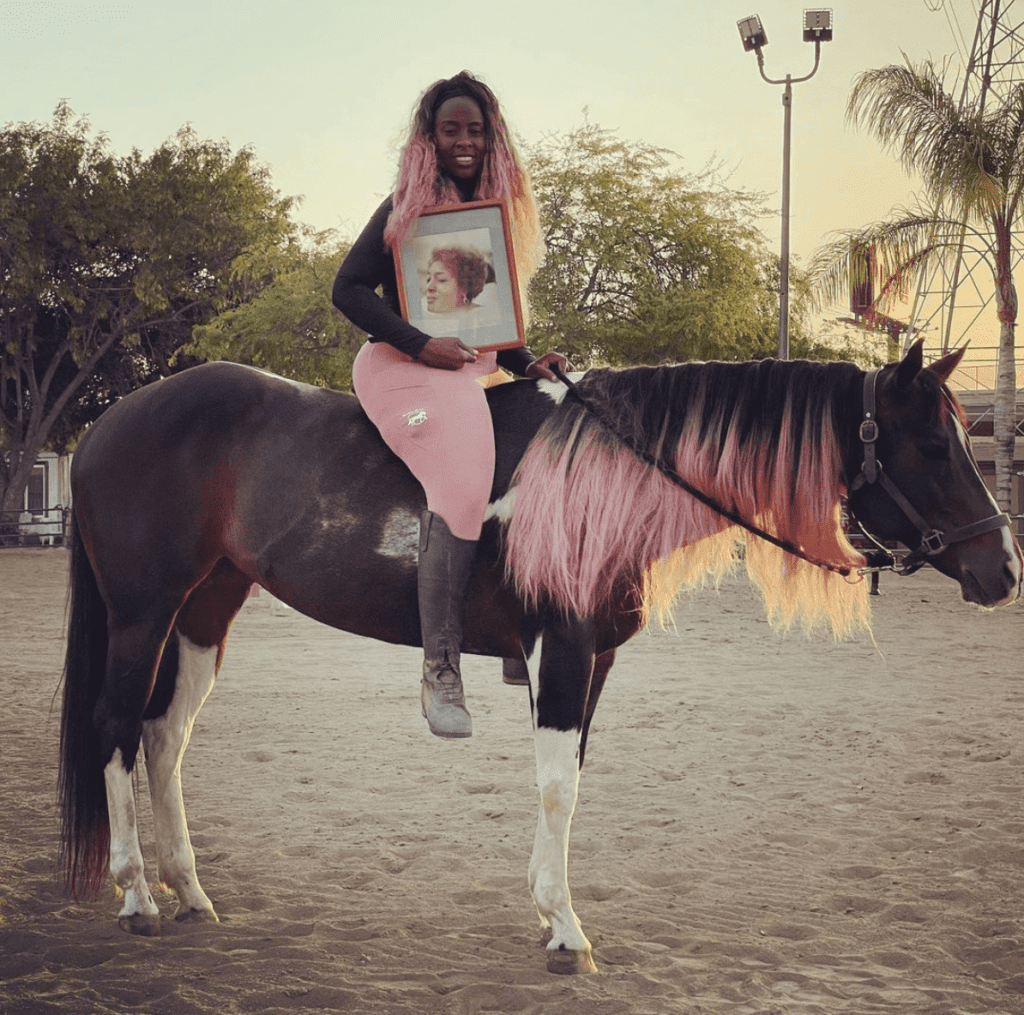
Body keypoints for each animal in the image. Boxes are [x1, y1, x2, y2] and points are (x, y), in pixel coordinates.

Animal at [58, 339, 1020, 974]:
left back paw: (190, 891)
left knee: (163, 738)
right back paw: (137, 895)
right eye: (934, 445)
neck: (602, 474)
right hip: (143, 614)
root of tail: (109, 422)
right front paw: (564, 926)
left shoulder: (591, 664)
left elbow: (571, 781)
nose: (1003, 567)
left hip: (205, 610)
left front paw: (548, 904)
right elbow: (559, 784)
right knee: (115, 729)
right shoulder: (560, 650)